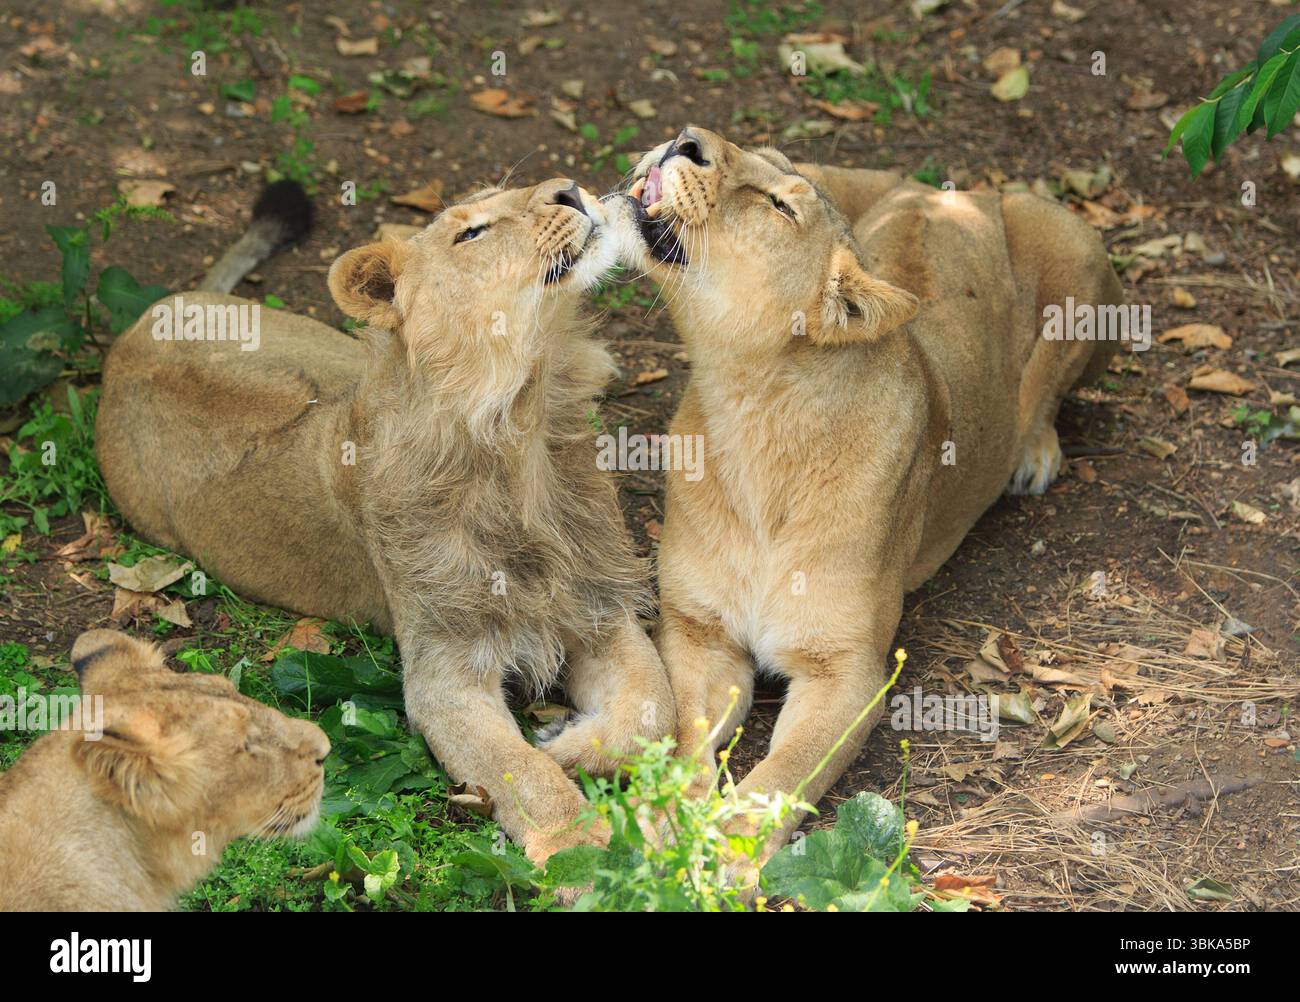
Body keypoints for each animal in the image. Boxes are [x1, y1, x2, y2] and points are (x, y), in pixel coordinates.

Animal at [95, 180, 675, 864]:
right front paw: (585, 852)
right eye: (470, 233)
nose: (568, 188)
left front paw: (566, 741)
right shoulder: (443, 673)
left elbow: (653, 711)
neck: (521, 418)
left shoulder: (597, 610)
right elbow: (525, 776)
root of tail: (132, 333)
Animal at [615, 127, 1123, 867]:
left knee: (1050, 383)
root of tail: (951, 192)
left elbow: (783, 774)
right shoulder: (695, 630)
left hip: (1076, 250)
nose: (687, 139)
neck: (753, 412)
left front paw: (728, 858)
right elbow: (683, 736)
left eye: (779, 205)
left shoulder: (848, 673)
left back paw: (1032, 452)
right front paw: (663, 825)